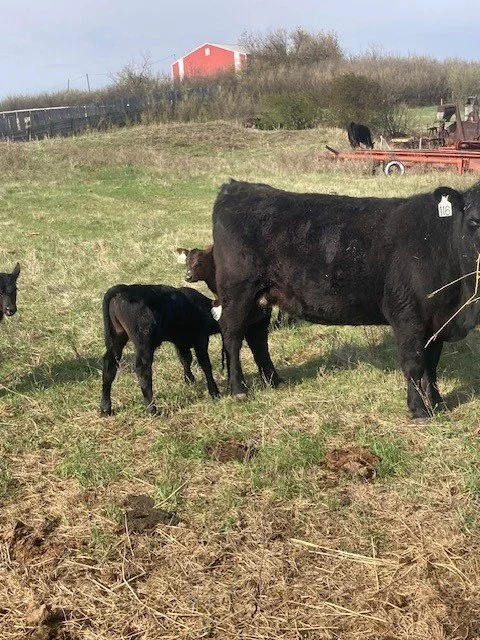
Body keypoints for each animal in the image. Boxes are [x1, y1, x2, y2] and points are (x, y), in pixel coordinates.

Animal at [100, 284, 221, 416]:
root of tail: (124, 288)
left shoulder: (181, 343)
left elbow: (185, 360)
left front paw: (190, 381)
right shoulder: (201, 339)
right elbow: (205, 364)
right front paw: (215, 392)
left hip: (116, 338)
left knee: (109, 367)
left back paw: (105, 408)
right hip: (144, 343)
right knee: (143, 370)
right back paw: (151, 409)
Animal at [212, 179, 480, 419]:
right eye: (474, 221)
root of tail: (236, 187)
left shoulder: (439, 321)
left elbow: (431, 365)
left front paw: (438, 402)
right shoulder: (408, 316)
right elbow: (414, 364)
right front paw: (419, 410)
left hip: (262, 297)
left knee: (257, 337)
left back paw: (274, 380)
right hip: (237, 291)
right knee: (233, 335)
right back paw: (238, 389)